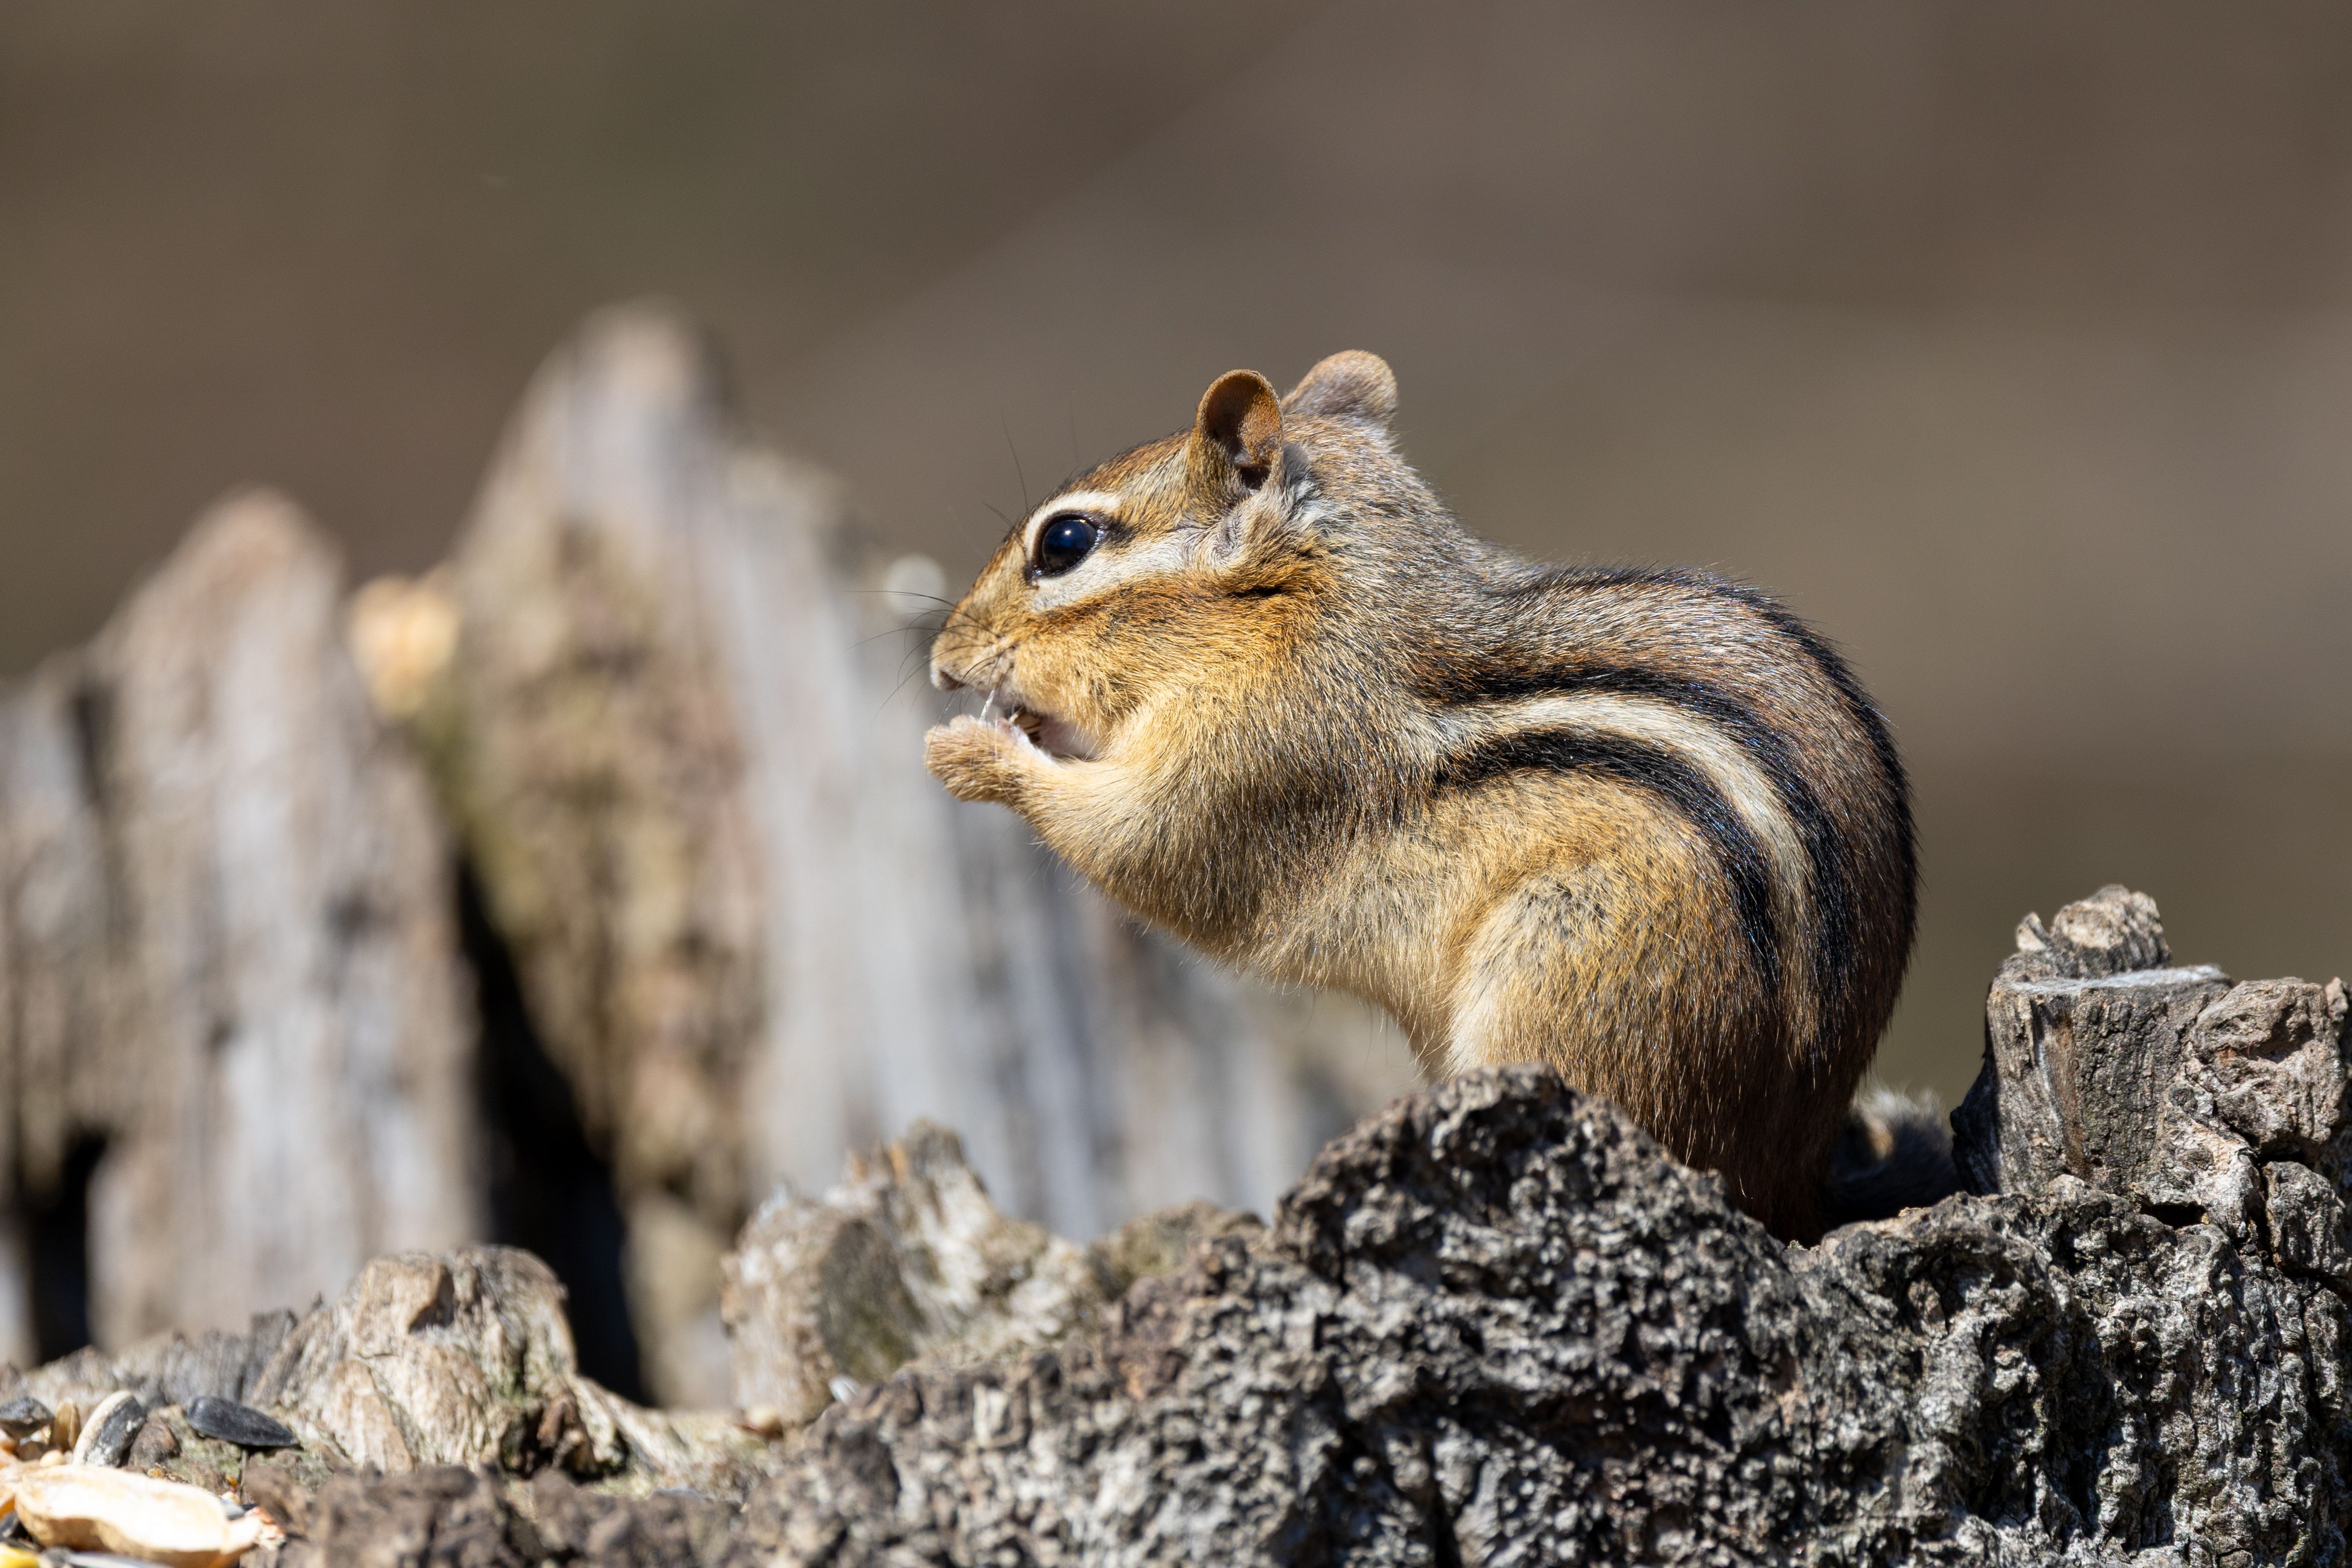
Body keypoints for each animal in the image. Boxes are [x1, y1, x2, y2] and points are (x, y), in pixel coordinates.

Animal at [924, 352, 1919, 1241]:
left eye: (1064, 544)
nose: (940, 660)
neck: (1301, 604)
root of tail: (1791, 1176)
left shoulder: (1255, 760)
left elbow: (1139, 843)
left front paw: (973, 750)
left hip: (1578, 968)